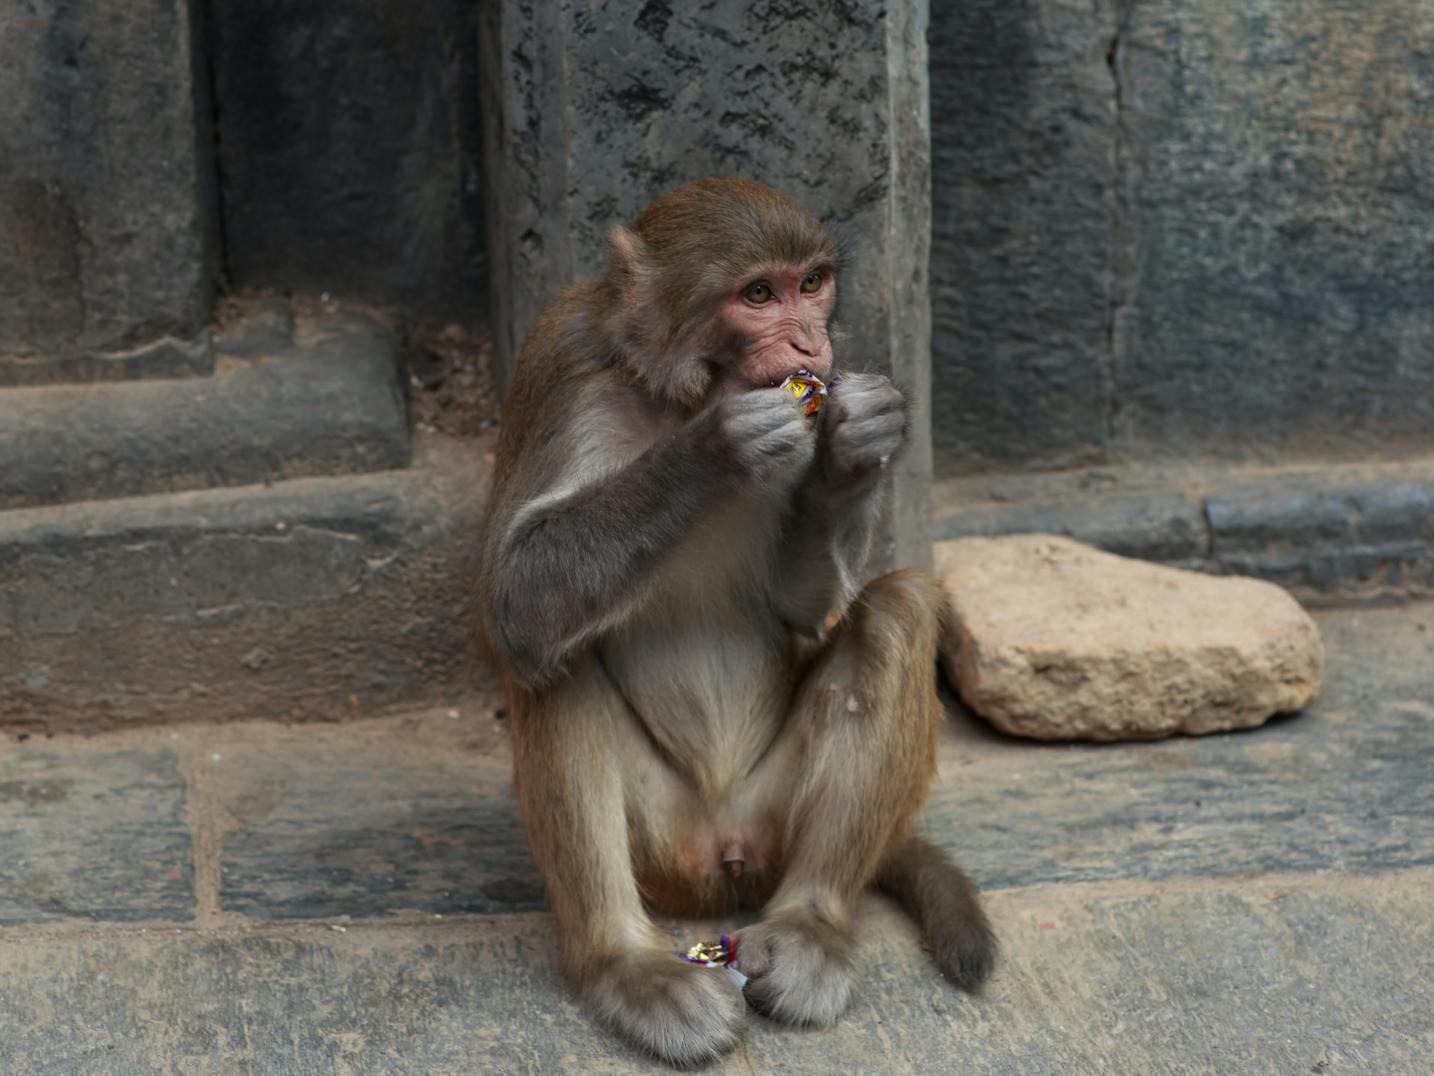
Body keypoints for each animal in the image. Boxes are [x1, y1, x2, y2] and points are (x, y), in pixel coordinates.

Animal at [478, 178, 995, 1065]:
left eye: (811, 283)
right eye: (758, 295)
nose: (811, 342)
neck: (675, 391)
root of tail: (721, 856)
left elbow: (803, 606)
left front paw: (853, 446)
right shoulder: (560, 360)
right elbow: (513, 597)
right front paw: (712, 451)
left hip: (773, 819)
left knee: (895, 611)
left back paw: (812, 924)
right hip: (660, 843)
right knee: (551, 654)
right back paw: (625, 964)